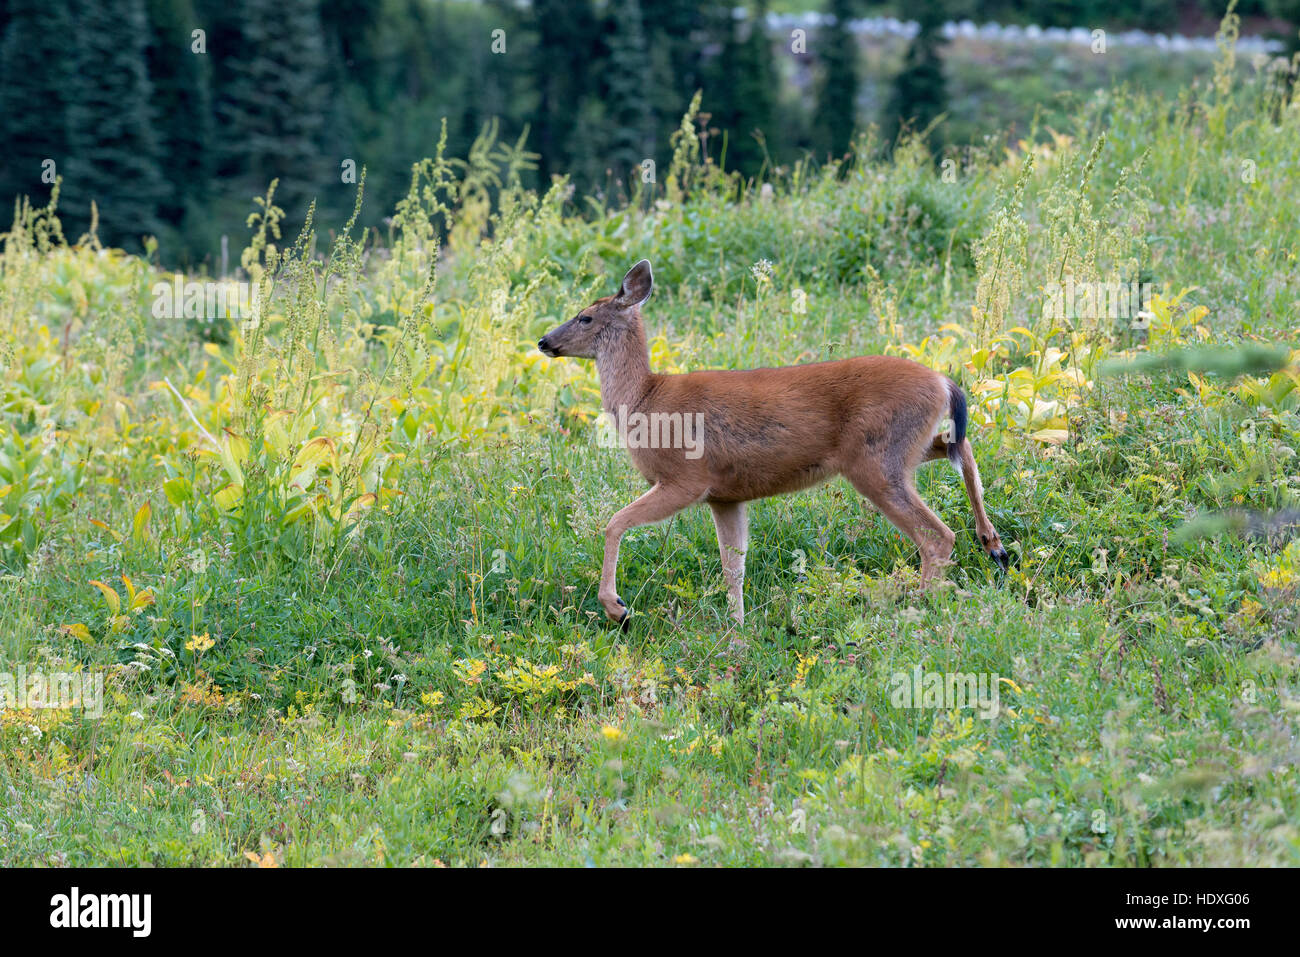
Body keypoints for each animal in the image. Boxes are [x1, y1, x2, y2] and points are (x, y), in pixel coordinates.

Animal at [537, 260, 1009, 630]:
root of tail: (943, 381)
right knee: (959, 446)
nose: (544, 341)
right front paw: (737, 631)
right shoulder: (725, 495)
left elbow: (614, 522)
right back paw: (994, 545)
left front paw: (618, 608)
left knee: (937, 535)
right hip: (903, 447)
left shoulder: (685, 478)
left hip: (875, 459)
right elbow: (734, 565)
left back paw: (918, 607)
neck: (645, 400)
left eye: (584, 317)